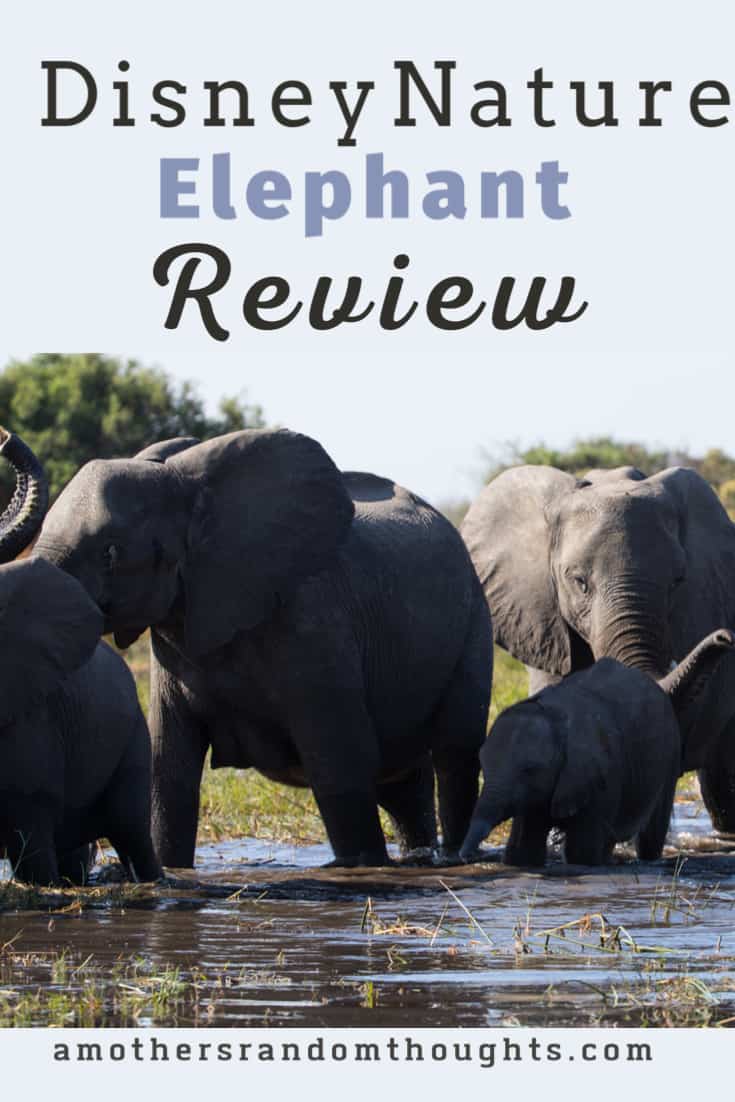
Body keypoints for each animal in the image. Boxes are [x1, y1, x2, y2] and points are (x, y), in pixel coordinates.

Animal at [29, 428, 494, 868]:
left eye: (110, 553)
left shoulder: (314, 620)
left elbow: (338, 761)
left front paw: (360, 866)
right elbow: (170, 771)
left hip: (473, 619)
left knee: (454, 753)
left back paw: (455, 857)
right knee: (401, 780)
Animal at [460, 629, 735, 866]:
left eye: (529, 771)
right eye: (482, 766)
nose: (465, 856)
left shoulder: (598, 778)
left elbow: (581, 852)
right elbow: (522, 849)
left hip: (667, 758)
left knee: (650, 835)